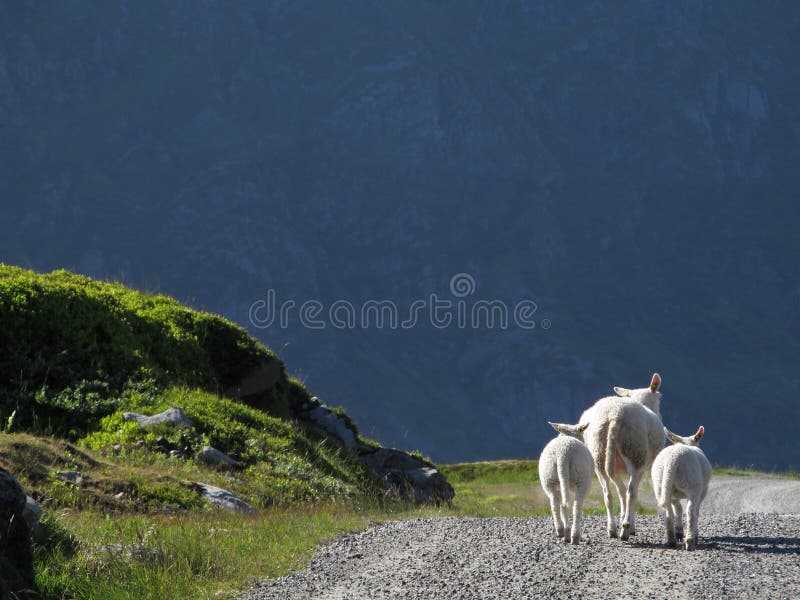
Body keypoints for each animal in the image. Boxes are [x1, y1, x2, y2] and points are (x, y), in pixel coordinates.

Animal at [579, 373, 665, 540]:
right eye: (659, 397)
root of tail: (615, 416)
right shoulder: (642, 468)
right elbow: (633, 493)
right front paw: (631, 526)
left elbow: (620, 492)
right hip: (635, 451)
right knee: (630, 491)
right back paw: (625, 529)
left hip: (599, 455)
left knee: (608, 493)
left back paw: (612, 529)